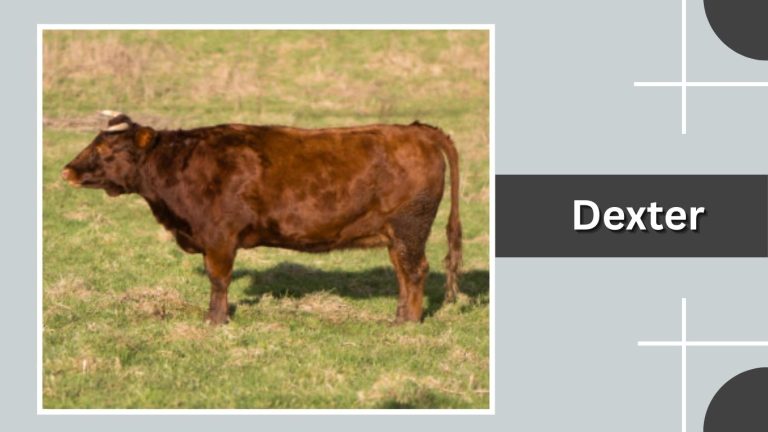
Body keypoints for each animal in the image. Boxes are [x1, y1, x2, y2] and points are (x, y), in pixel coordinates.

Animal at [61, 112, 462, 325]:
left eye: (107, 148)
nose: (67, 170)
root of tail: (416, 129)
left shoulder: (220, 238)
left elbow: (219, 280)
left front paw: (216, 321)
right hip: (397, 235)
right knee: (403, 273)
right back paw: (399, 316)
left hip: (410, 228)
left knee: (415, 271)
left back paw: (408, 323)